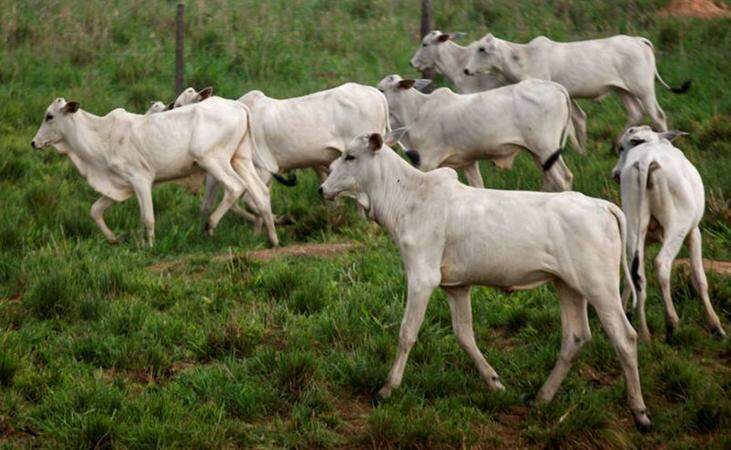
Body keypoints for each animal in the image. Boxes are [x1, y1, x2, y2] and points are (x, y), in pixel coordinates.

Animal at [30, 97, 278, 247]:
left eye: (49, 116)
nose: (34, 143)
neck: (101, 136)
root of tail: (237, 106)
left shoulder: (140, 180)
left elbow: (147, 218)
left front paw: (148, 246)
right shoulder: (122, 186)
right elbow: (95, 210)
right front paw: (113, 239)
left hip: (212, 159)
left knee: (236, 187)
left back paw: (209, 226)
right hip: (240, 159)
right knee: (260, 193)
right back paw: (272, 239)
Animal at [319, 130, 652, 431]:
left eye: (350, 156)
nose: (321, 189)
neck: (410, 198)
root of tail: (601, 205)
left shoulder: (422, 277)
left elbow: (407, 333)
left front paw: (386, 389)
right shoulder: (456, 287)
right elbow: (464, 335)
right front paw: (495, 382)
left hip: (600, 287)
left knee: (624, 336)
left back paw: (640, 413)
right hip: (567, 285)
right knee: (576, 336)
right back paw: (541, 398)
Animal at [376, 74, 574, 192]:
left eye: (381, 89)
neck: (416, 111)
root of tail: (556, 87)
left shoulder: (427, 161)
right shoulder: (468, 162)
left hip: (545, 148)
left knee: (563, 178)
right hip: (538, 154)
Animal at [463, 33, 691, 147]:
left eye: (482, 49)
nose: (466, 70)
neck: (523, 59)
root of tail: (638, 40)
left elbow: (571, 125)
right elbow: (579, 120)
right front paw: (581, 151)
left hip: (643, 90)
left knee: (658, 115)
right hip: (623, 91)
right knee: (635, 113)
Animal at [612, 126, 726, 341]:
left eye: (622, 147)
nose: (615, 173)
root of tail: (646, 159)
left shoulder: (646, 239)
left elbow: (631, 277)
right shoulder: (694, 233)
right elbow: (700, 278)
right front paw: (716, 326)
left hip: (634, 227)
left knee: (638, 274)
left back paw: (645, 333)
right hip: (677, 228)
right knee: (661, 264)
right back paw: (671, 323)